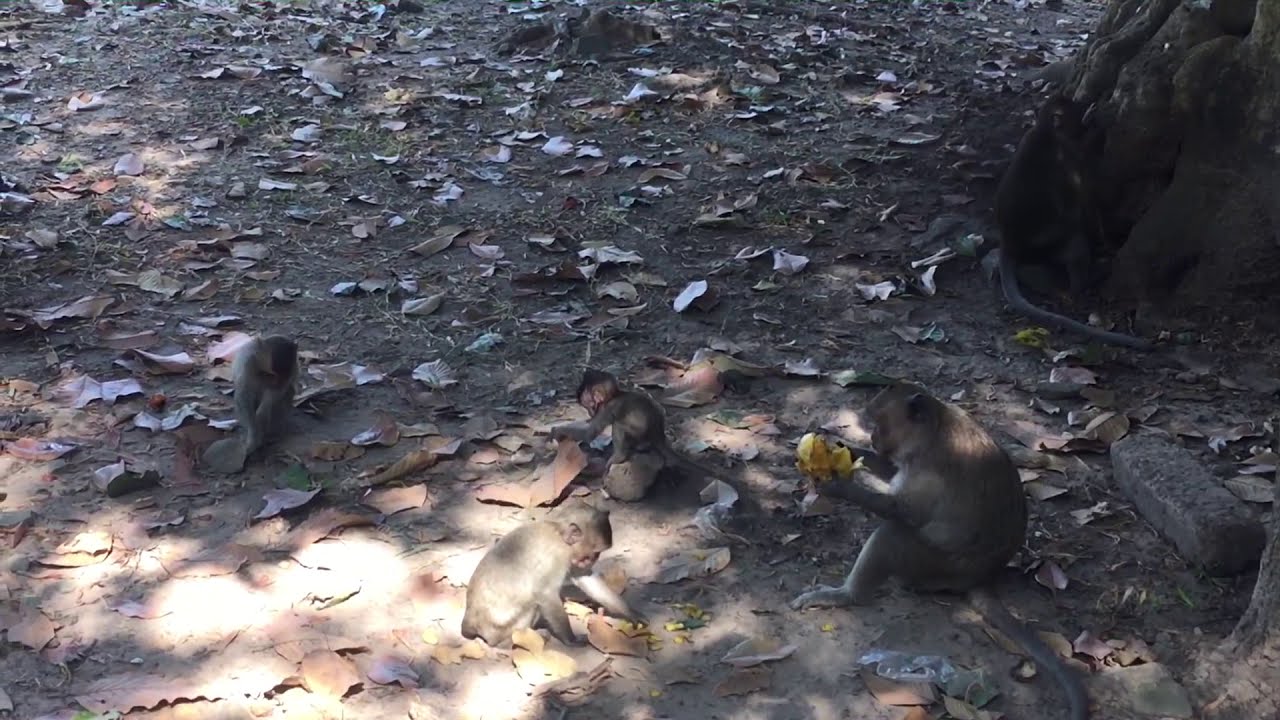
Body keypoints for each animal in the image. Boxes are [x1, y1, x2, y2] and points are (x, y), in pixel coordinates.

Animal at [201, 334, 299, 474]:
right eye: (272, 374)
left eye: (280, 376)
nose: (276, 382)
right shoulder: (248, 360)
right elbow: (244, 394)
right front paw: (252, 439)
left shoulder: (291, 369)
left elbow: (279, 391)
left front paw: (263, 412)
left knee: (286, 392)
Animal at [461, 499, 643, 647]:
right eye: (593, 554)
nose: (592, 561)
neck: (558, 534)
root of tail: (470, 621)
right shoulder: (558, 556)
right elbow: (545, 593)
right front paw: (571, 639)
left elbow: (586, 579)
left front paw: (630, 613)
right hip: (503, 625)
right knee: (533, 602)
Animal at [550, 369, 731, 503]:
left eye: (588, 405)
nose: (589, 412)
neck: (616, 395)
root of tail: (659, 434)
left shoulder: (606, 409)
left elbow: (590, 434)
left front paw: (557, 431)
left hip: (638, 432)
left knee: (619, 426)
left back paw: (619, 456)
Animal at [790, 383, 1089, 720]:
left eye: (880, 423)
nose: (873, 439)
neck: (936, 429)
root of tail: (982, 577)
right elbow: (890, 471)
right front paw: (843, 448)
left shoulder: (929, 468)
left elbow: (902, 512)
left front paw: (836, 485)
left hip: (936, 565)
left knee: (892, 536)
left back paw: (846, 595)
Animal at [993, 94, 1153, 351]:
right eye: (1075, 110)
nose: (1087, 103)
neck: (1045, 131)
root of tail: (1009, 243)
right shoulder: (1067, 154)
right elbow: (1081, 197)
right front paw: (1097, 124)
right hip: (1048, 246)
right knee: (1075, 243)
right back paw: (1089, 278)